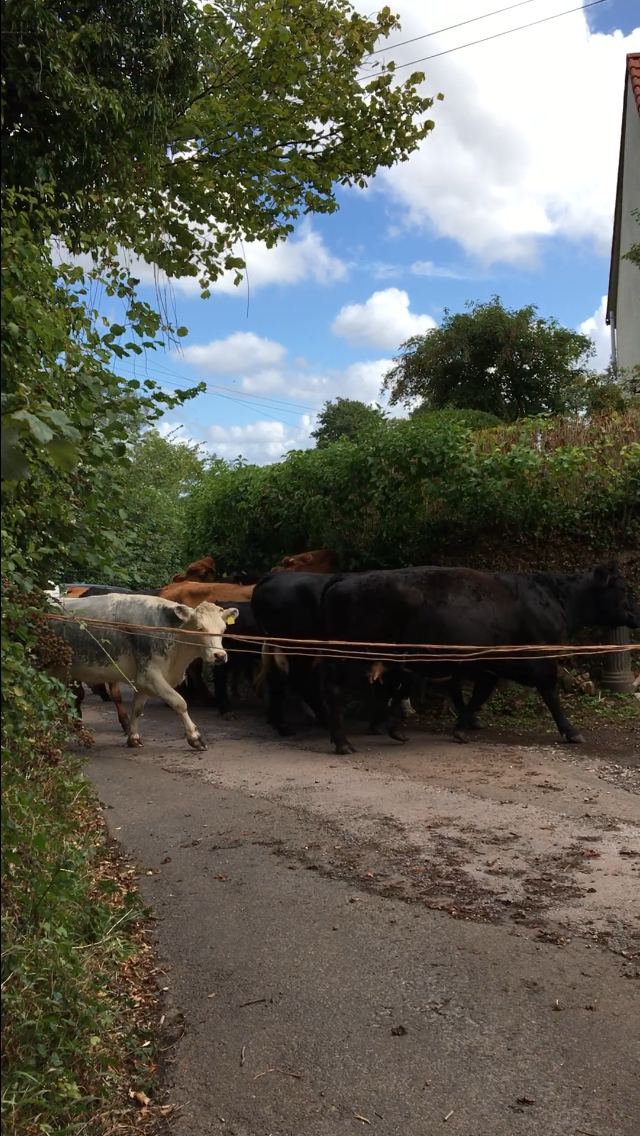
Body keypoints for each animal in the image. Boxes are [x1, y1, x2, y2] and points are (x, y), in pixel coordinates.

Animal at [49, 595, 238, 750]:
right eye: (199, 628)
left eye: (223, 629)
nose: (220, 656)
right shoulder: (150, 675)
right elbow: (180, 702)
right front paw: (195, 738)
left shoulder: (142, 680)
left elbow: (138, 708)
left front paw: (133, 737)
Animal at [318, 563, 640, 754]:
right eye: (624, 589)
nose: (636, 614)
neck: (554, 598)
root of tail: (344, 580)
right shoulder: (541, 659)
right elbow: (552, 696)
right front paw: (571, 731)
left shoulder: (491, 665)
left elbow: (478, 696)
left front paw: (462, 726)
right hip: (354, 656)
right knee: (334, 690)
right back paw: (343, 742)